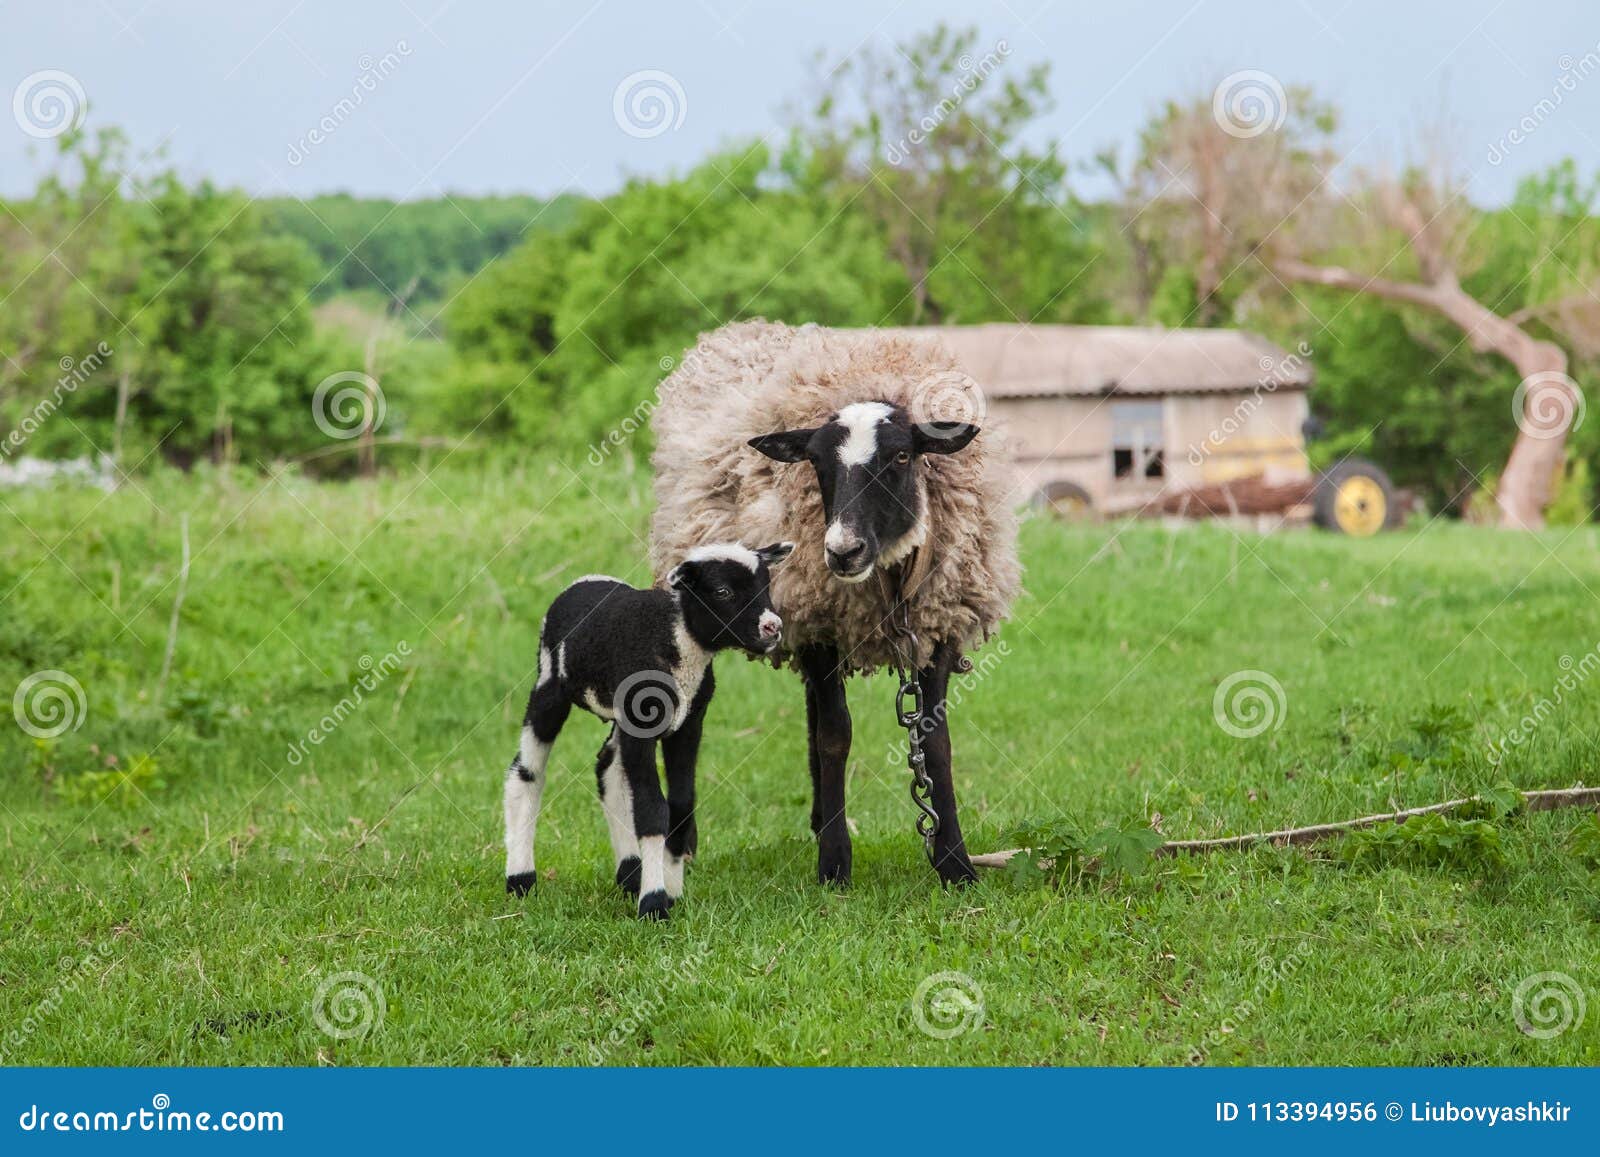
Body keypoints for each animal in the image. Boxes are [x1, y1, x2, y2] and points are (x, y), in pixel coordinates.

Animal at [503, 540, 794, 919]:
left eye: (766, 586)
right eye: (722, 591)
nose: (773, 628)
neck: (677, 640)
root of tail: (583, 580)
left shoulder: (688, 722)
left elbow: (681, 805)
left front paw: (672, 890)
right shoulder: (641, 727)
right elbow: (652, 809)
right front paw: (655, 903)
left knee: (609, 770)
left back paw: (630, 874)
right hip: (549, 685)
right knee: (526, 772)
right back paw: (520, 878)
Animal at [649, 320, 1020, 886]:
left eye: (902, 456)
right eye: (816, 463)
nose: (843, 551)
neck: (888, 581)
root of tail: (734, 333)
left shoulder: (936, 626)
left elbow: (934, 742)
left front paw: (954, 863)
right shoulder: (819, 624)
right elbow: (835, 737)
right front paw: (834, 865)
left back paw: (822, 816)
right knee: (694, 714)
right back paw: (683, 841)